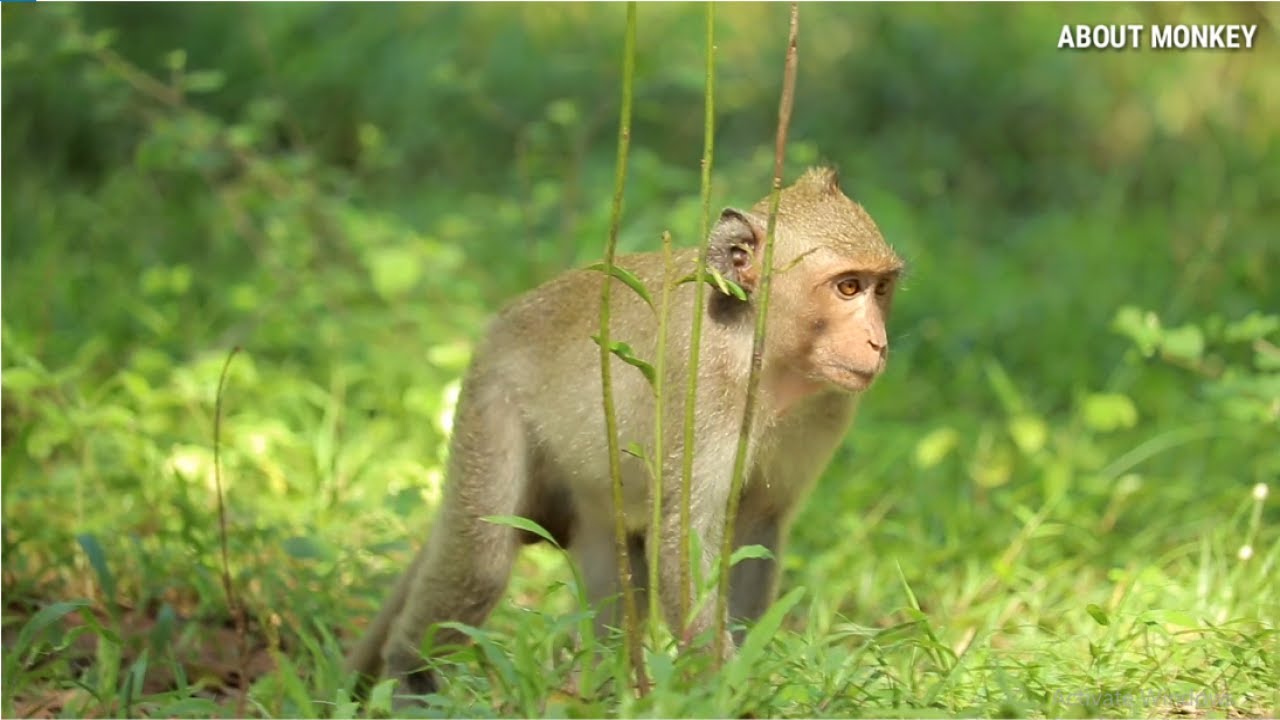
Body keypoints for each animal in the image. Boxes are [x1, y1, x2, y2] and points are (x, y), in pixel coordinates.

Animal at [344, 166, 904, 701]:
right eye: (847, 287)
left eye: (880, 288)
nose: (877, 342)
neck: (755, 347)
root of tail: (497, 324)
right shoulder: (701, 386)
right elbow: (681, 539)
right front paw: (725, 691)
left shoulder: (827, 407)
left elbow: (755, 527)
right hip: (491, 400)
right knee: (481, 561)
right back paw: (409, 677)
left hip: (590, 500)